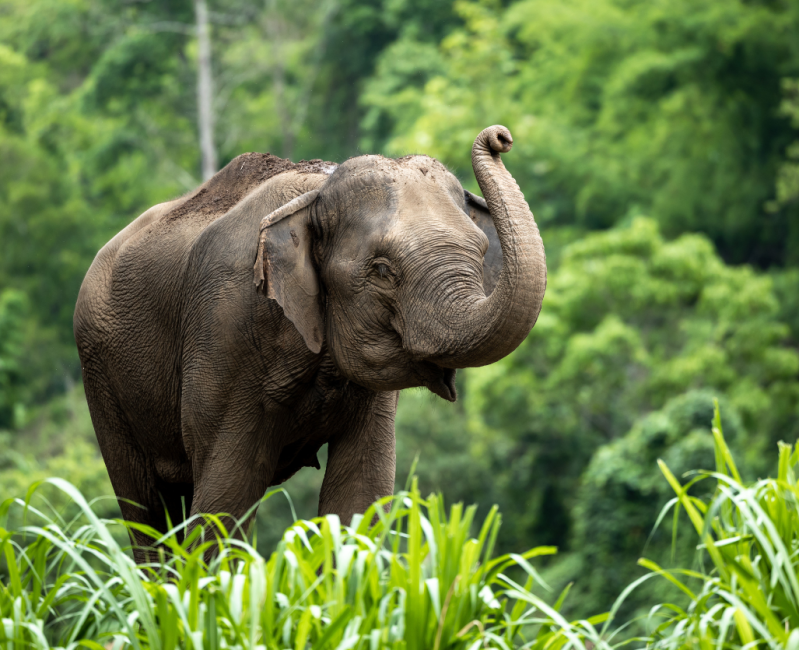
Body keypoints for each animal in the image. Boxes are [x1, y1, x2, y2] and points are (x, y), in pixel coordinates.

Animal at [73, 125, 546, 563]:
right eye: (382, 270)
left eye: (481, 251)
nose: (500, 136)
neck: (317, 192)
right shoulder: (225, 329)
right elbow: (226, 497)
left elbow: (360, 492)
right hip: (101, 374)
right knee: (148, 510)